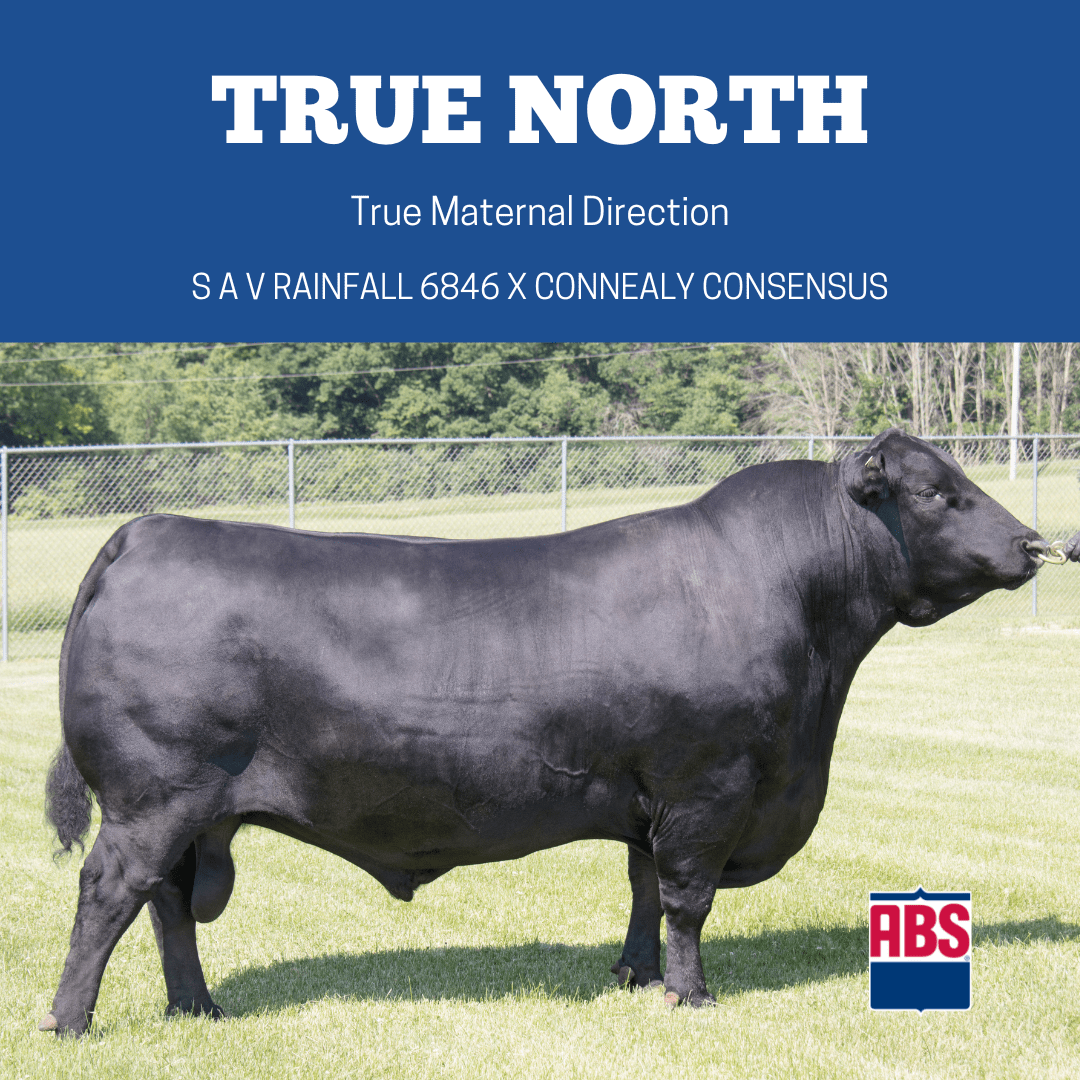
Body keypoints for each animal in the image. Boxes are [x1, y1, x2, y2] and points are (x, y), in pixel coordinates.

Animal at [39, 429, 1057, 1036]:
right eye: (936, 493)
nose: (1034, 546)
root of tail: (146, 531)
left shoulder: (656, 795)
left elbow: (644, 890)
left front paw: (635, 977)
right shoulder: (711, 787)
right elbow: (688, 900)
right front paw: (691, 995)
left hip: (192, 813)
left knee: (170, 905)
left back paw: (197, 1009)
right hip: (154, 798)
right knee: (110, 893)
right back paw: (70, 1020)